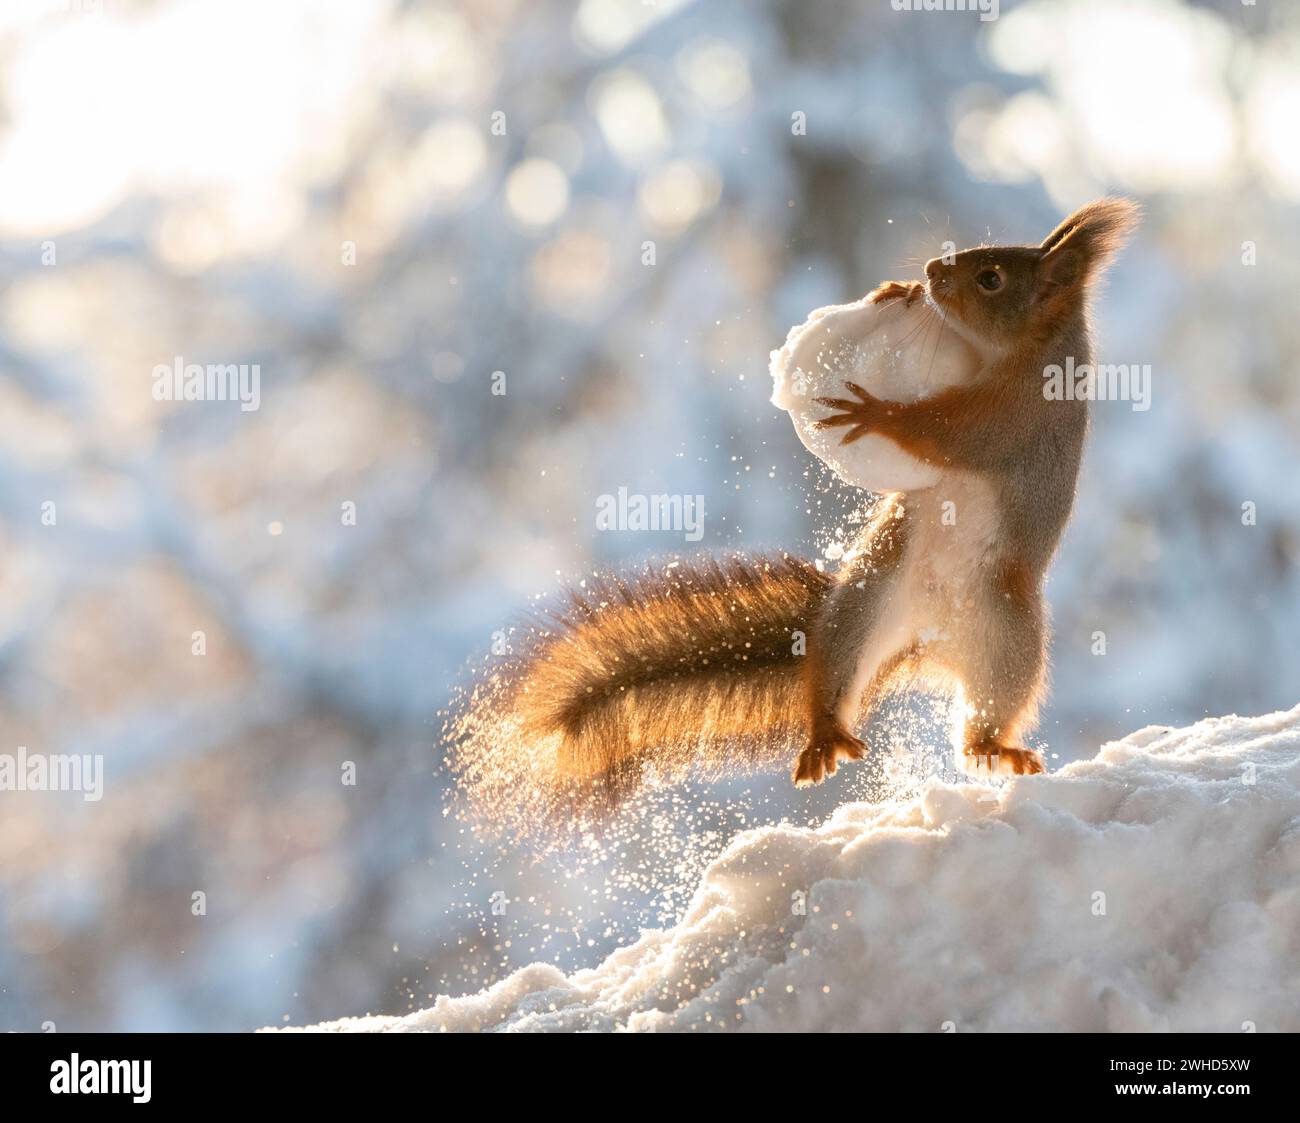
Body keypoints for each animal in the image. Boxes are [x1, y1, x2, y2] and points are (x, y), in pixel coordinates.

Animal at [451, 199, 1140, 821]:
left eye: (991, 278)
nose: (929, 272)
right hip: (867, 598)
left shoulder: (1015, 413)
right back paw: (825, 736)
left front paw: (876, 412)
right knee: (834, 678)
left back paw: (993, 748)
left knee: (987, 715)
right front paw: (893, 290)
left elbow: (944, 432)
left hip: (1007, 637)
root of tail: (927, 642)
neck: (1021, 349)